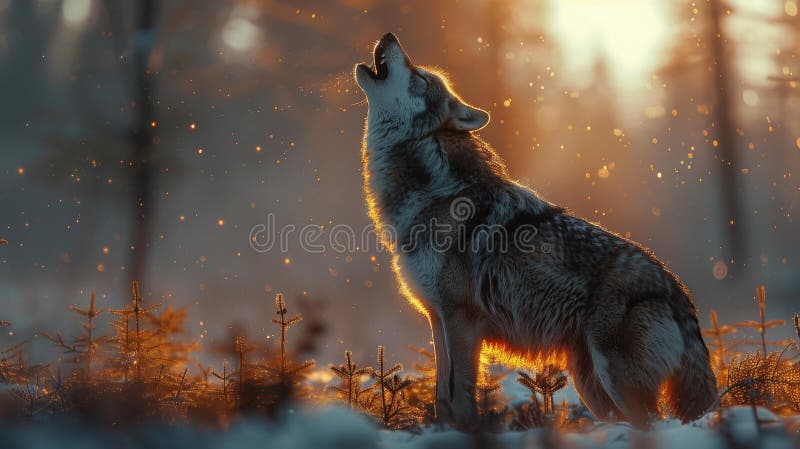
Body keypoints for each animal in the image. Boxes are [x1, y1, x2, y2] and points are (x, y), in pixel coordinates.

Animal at [354, 33, 716, 428]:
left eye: (419, 76)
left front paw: (467, 430)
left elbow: (460, 392)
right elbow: (441, 394)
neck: (434, 190)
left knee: (654, 422)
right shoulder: (437, 318)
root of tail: (677, 290)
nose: (389, 36)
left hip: (616, 379)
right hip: (592, 387)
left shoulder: (461, 319)